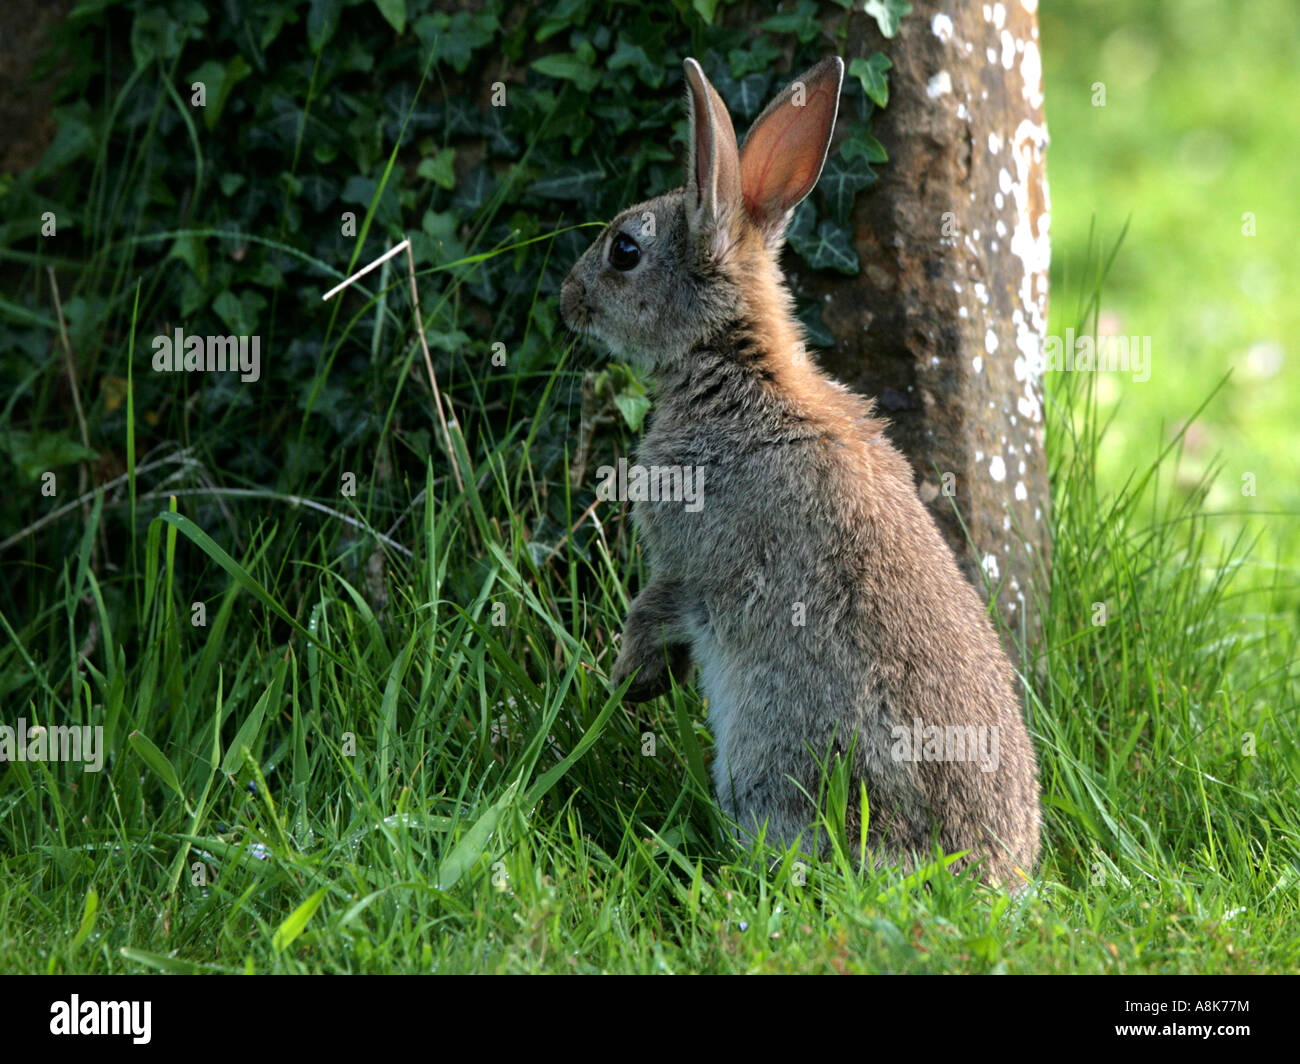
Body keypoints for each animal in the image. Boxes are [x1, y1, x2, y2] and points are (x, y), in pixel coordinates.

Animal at [560, 56, 1041, 888]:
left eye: (624, 249)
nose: (566, 301)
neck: (741, 371)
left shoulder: (689, 560)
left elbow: (656, 606)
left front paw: (629, 677)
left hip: (774, 758)